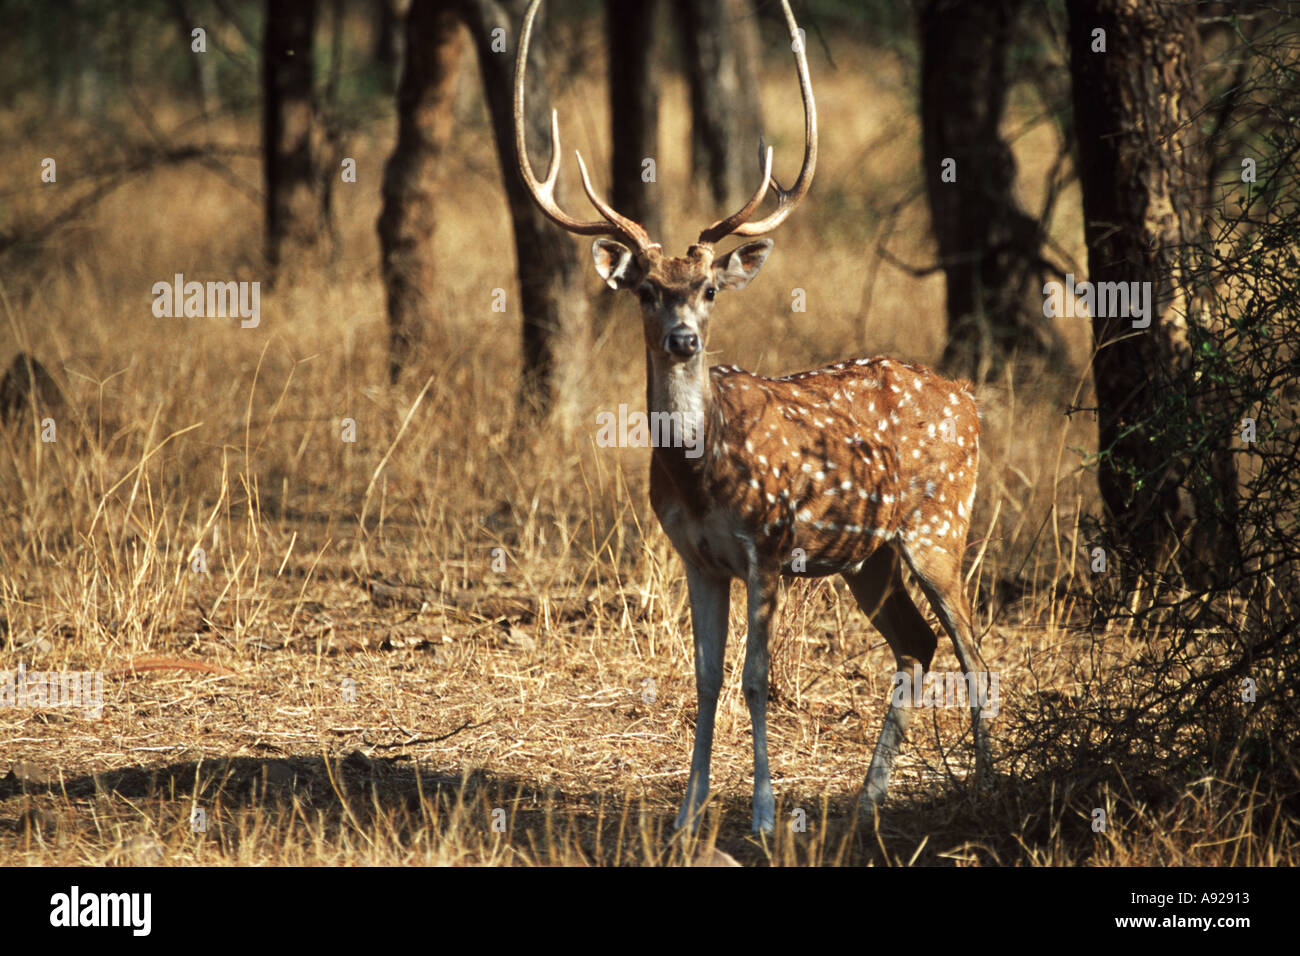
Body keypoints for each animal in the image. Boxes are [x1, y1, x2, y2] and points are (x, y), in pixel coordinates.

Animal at [514, 0, 993, 834]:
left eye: (709, 288)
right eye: (647, 290)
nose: (683, 338)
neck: (702, 474)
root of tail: (966, 397)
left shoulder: (767, 547)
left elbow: (755, 678)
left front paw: (764, 816)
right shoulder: (695, 556)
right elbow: (705, 678)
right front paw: (685, 813)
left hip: (940, 525)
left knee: (973, 650)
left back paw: (995, 786)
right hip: (868, 556)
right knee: (916, 645)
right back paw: (866, 803)